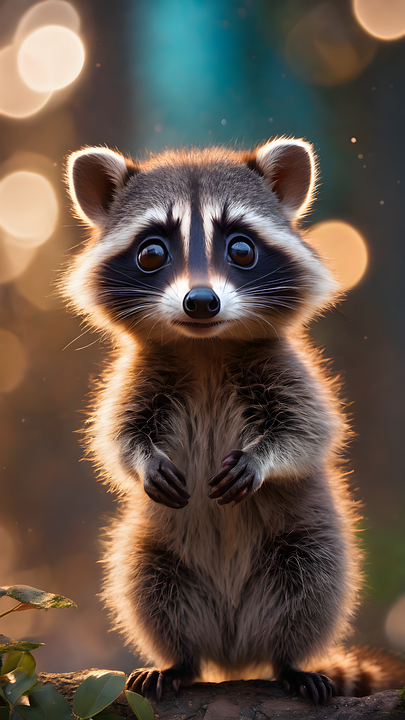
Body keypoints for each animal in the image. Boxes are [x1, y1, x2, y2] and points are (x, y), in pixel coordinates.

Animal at [62, 139, 404, 704]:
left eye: (241, 249)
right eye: (152, 252)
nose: (201, 302)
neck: (206, 348)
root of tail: (232, 653)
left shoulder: (288, 371)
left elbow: (309, 431)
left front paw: (263, 458)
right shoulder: (139, 377)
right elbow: (115, 435)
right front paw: (142, 459)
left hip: (306, 541)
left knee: (311, 582)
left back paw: (290, 659)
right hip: (158, 553)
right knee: (144, 580)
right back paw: (179, 659)